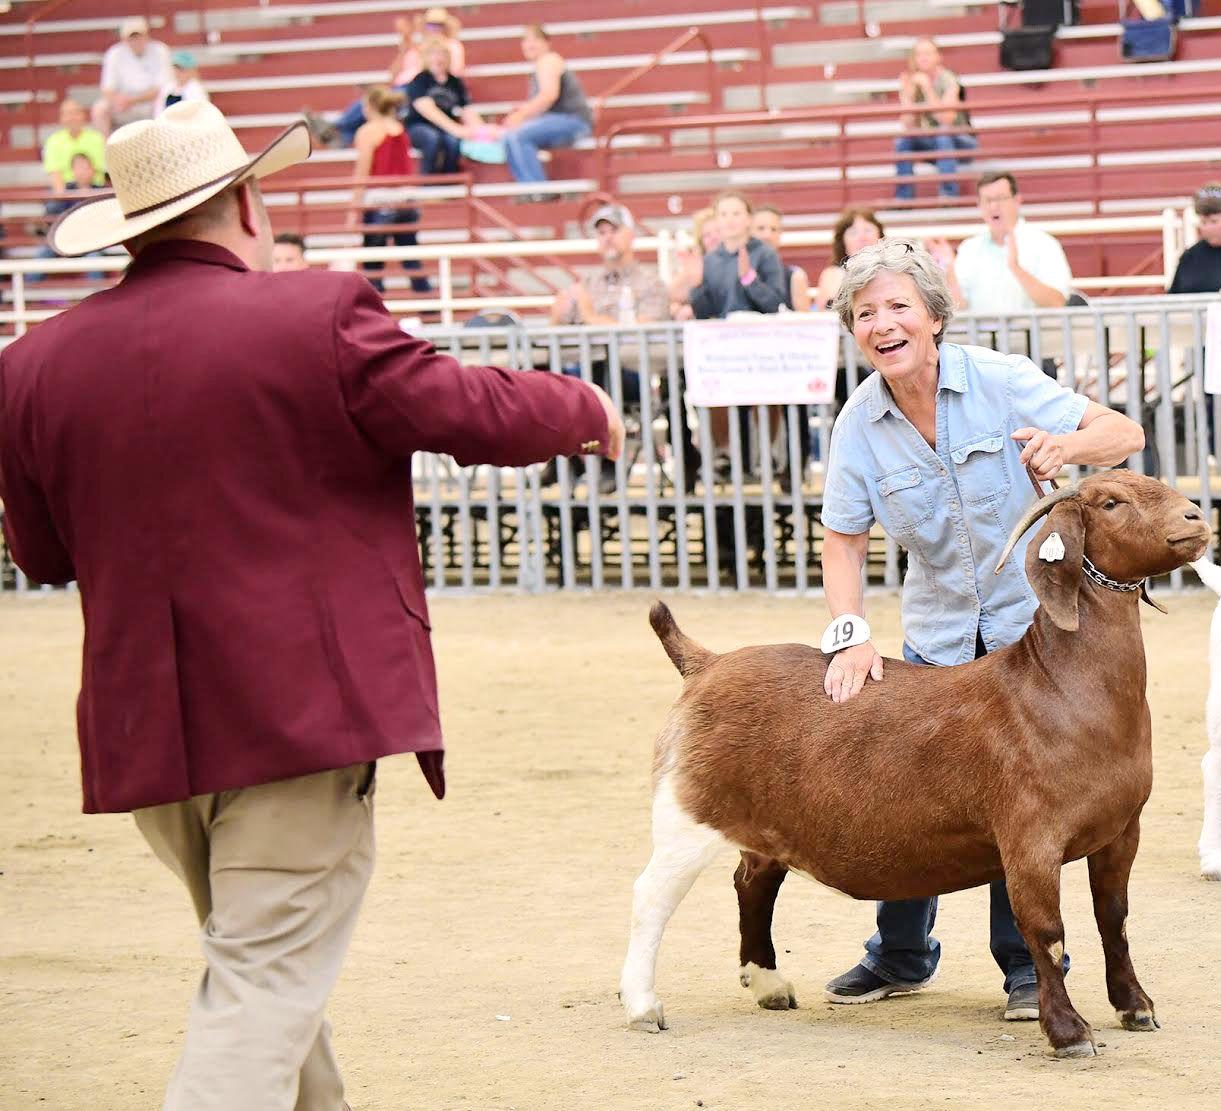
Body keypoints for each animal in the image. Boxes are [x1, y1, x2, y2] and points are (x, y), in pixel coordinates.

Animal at [619, 471, 1208, 1059]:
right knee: (651, 897)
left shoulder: (1123, 828)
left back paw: (769, 986)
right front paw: (1068, 1032)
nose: (1196, 518)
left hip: (766, 822)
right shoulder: (1030, 838)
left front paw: (1135, 1006)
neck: (1055, 684)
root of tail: (706, 664)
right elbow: (1045, 930)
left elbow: (1114, 918)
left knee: (752, 883)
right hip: (687, 810)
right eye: (1111, 503)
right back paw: (644, 1007)